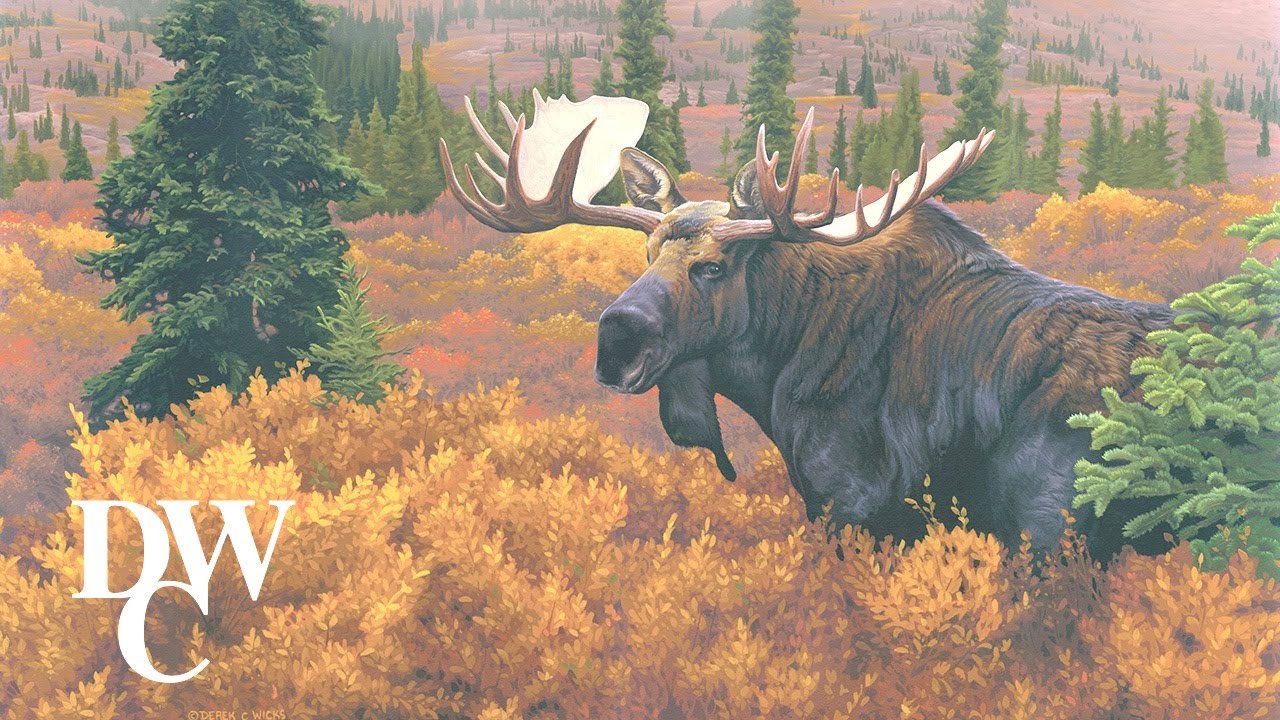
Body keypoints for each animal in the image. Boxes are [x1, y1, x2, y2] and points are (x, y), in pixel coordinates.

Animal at [439, 91, 1175, 557]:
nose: (615, 341)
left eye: (712, 267)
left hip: (1050, 528)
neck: (776, 364)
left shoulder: (850, 502)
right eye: (647, 255)